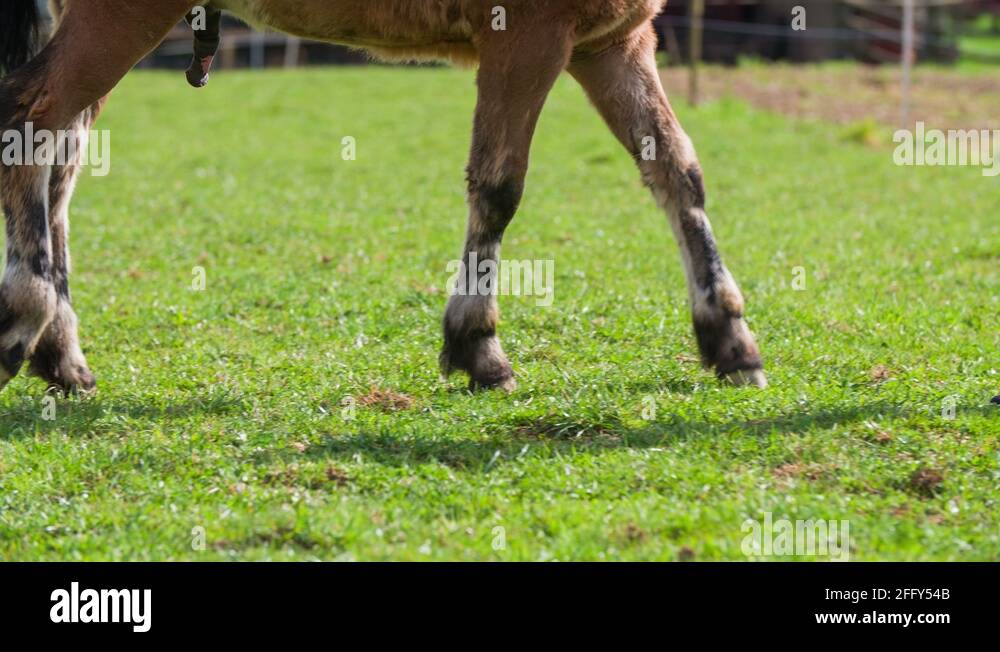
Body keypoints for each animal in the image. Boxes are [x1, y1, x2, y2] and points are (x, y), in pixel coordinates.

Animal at [0, 0, 766, 395]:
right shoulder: (527, 39)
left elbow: (677, 174)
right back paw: (26, 318)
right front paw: (478, 345)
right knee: (28, 122)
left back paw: (61, 354)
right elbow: (498, 188)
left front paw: (728, 336)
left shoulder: (612, 44)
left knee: (60, 170)